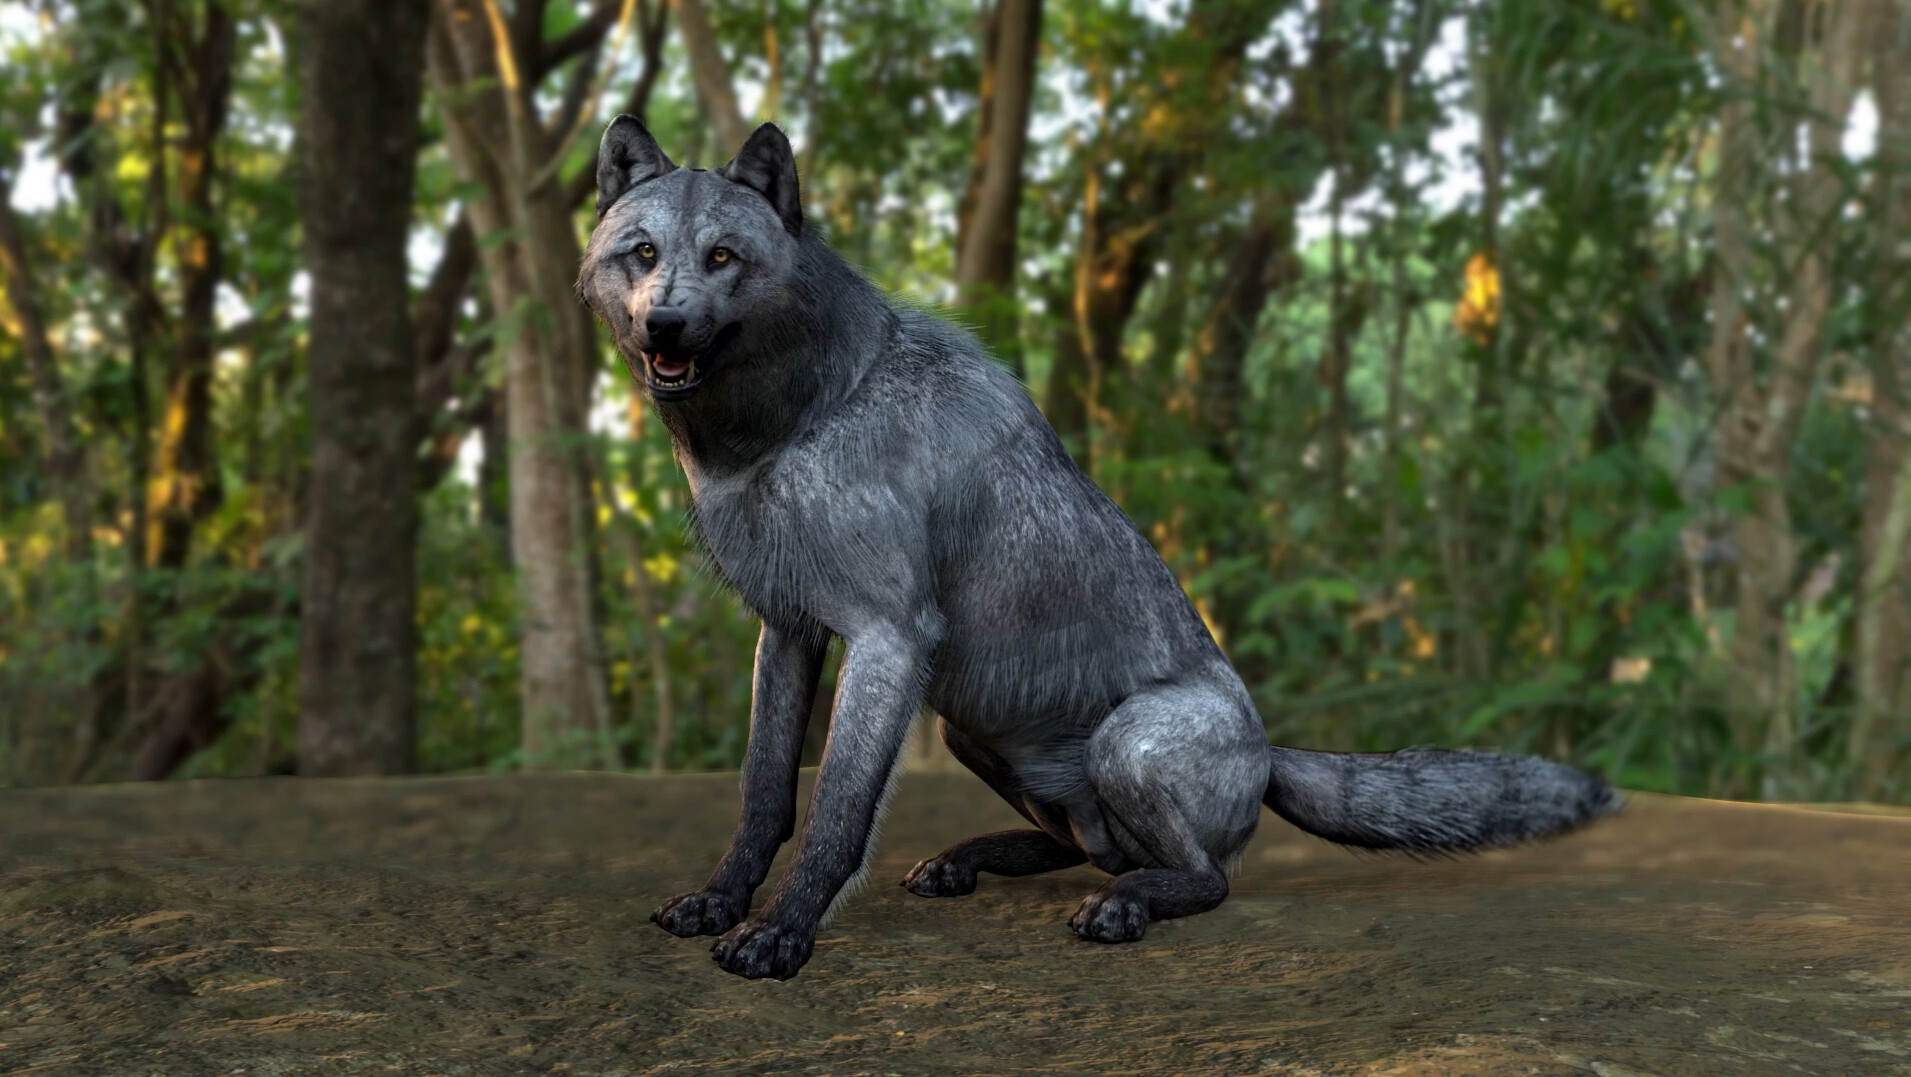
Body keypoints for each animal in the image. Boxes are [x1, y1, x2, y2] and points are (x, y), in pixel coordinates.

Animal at [577, 116, 1620, 982]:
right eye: (643, 253)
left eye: (723, 255)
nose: (664, 323)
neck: (789, 422)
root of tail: (1268, 748)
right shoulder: (789, 630)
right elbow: (764, 796)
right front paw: (721, 899)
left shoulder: (886, 636)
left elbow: (835, 814)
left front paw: (782, 935)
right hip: (971, 726)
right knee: (1087, 845)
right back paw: (971, 859)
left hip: (1121, 739)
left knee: (1199, 876)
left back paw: (1122, 906)